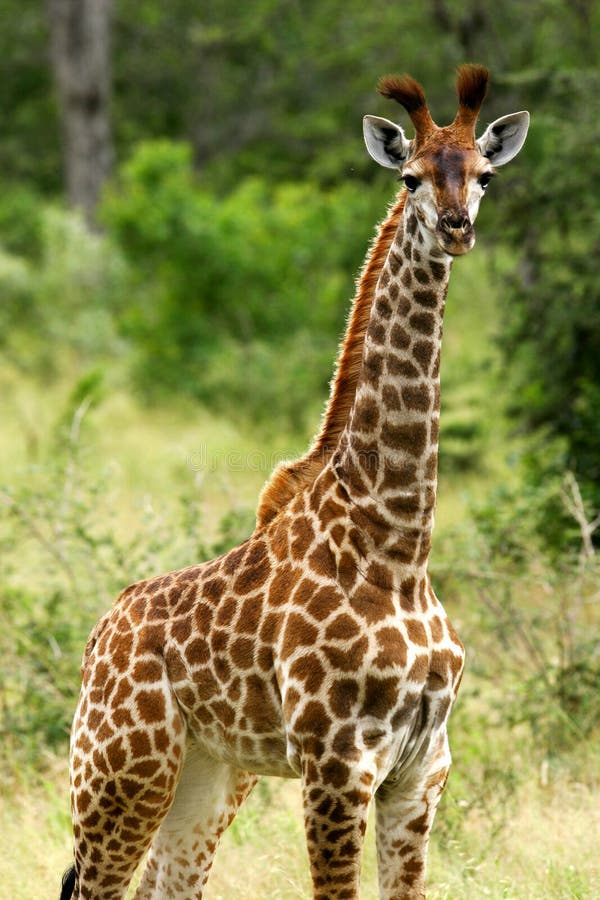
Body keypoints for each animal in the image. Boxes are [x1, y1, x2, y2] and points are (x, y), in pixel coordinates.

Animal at [59, 65, 529, 900]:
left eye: (484, 174)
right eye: (409, 177)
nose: (455, 228)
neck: (398, 546)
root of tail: (99, 635)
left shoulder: (422, 771)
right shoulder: (337, 764)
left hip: (208, 774)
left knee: (168, 884)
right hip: (120, 773)